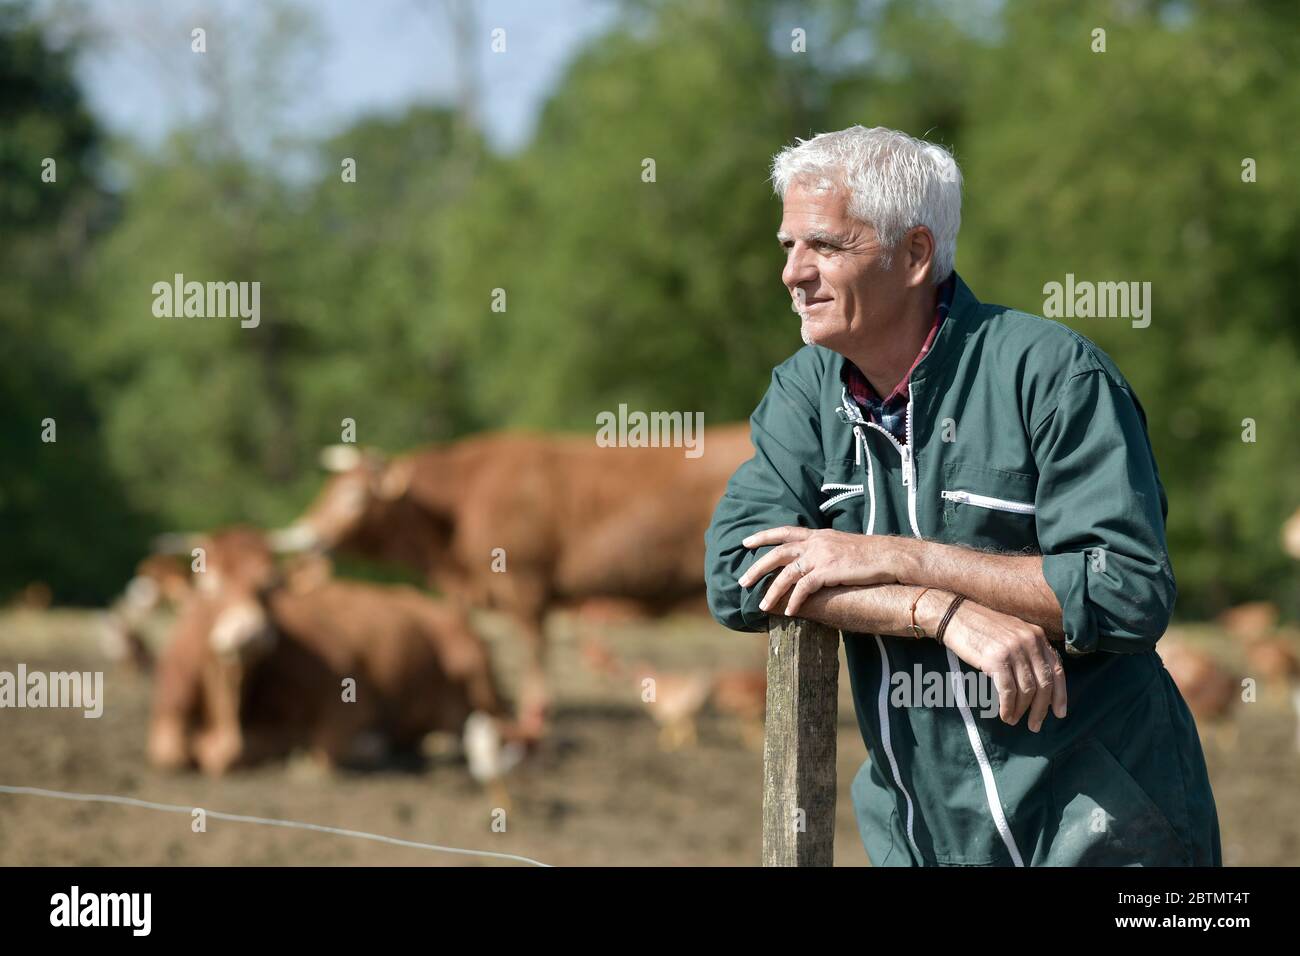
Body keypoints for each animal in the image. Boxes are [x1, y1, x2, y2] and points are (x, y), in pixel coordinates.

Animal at [146, 527, 521, 782]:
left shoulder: (348, 694)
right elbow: (170, 751)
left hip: (474, 667)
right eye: (209, 586)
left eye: (271, 585)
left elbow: (321, 749)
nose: (249, 633)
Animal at [270, 426, 753, 738]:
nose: (308, 533)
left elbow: (534, 649)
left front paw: (534, 717)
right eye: (329, 489)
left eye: (354, 497)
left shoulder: (524, 583)